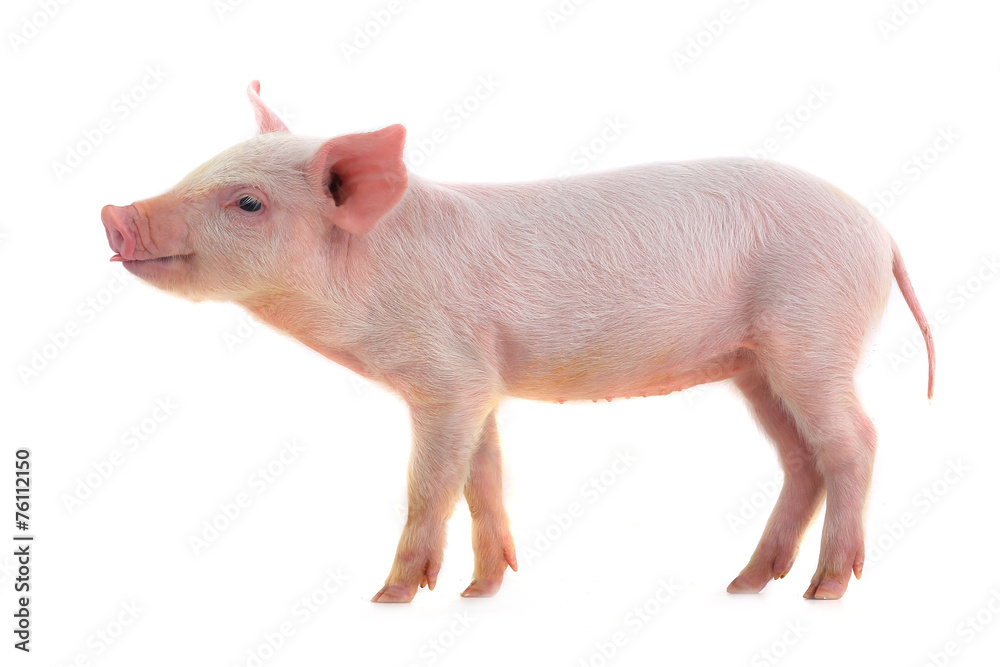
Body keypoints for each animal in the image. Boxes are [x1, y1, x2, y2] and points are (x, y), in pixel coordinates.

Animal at [101, 81, 935, 603]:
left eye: (247, 202)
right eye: (200, 166)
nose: (114, 213)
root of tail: (881, 230)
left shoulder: (447, 377)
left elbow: (429, 482)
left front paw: (390, 596)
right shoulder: (480, 380)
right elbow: (483, 475)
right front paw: (481, 588)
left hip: (814, 334)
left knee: (855, 440)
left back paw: (826, 589)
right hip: (757, 364)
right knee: (801, 456)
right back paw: (745, 583)